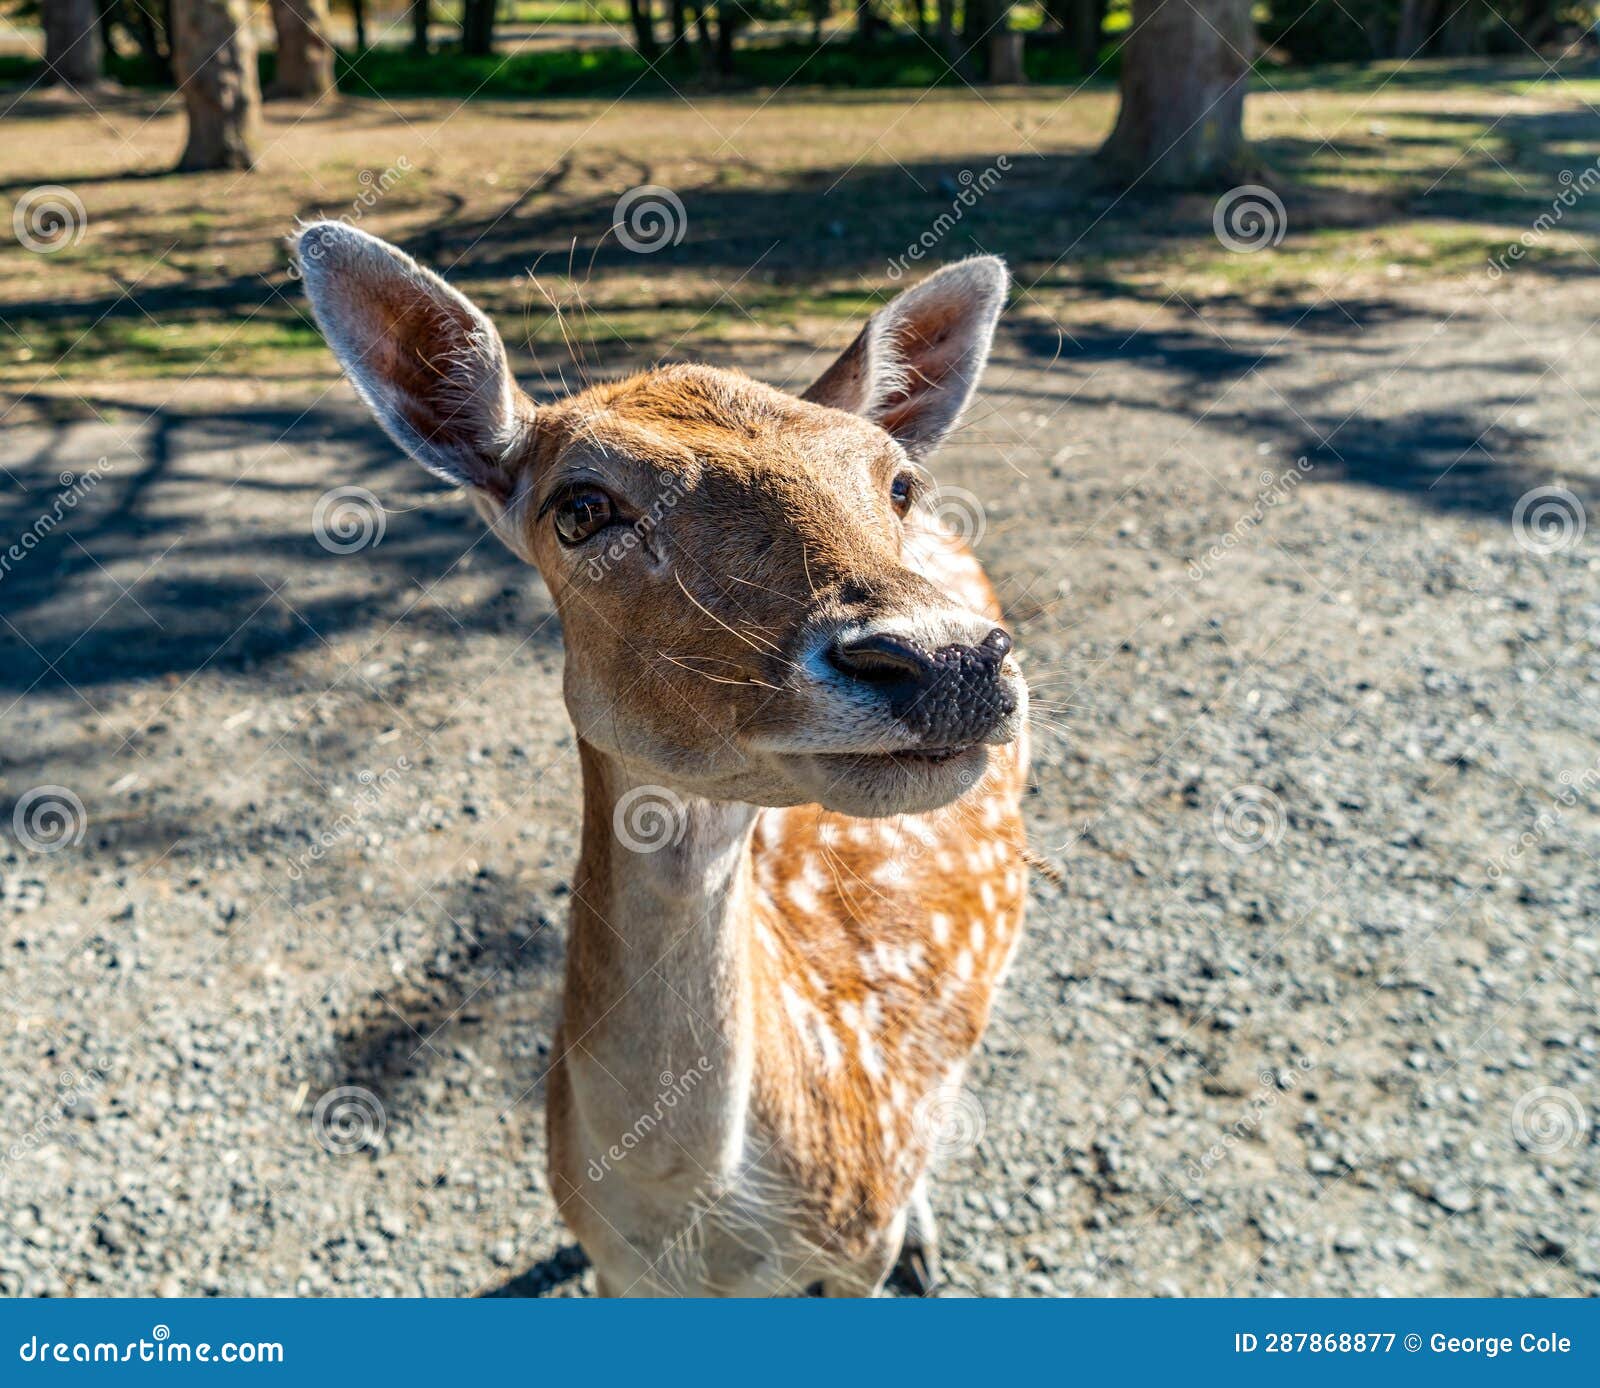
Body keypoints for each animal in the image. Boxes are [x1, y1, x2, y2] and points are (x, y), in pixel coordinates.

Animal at [295, 220, 1030, 1297]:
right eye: (581, 507)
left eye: (896, 481)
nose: (947, 657)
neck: (701, 1234)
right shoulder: (613, 1266)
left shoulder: (852, 1251)